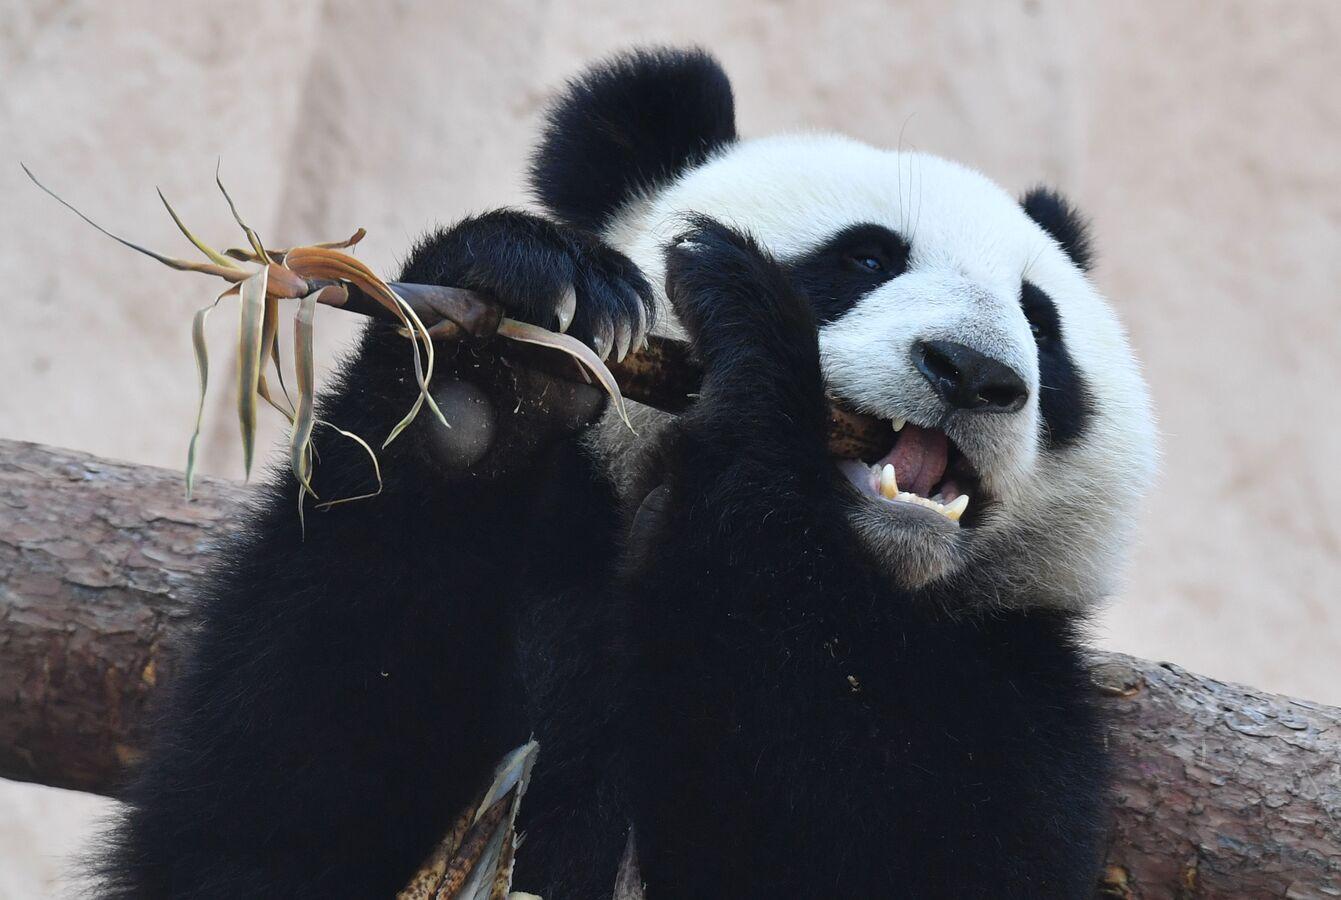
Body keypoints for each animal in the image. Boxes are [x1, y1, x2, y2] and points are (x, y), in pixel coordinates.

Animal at [99, 47, 1156, 899]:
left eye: (1042, 325)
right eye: (862, 258)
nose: (973, 371)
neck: (860, 576)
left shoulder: (1015, 691)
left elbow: (900, 847)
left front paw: (750, 340)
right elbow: (268, 800)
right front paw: (498, 365)